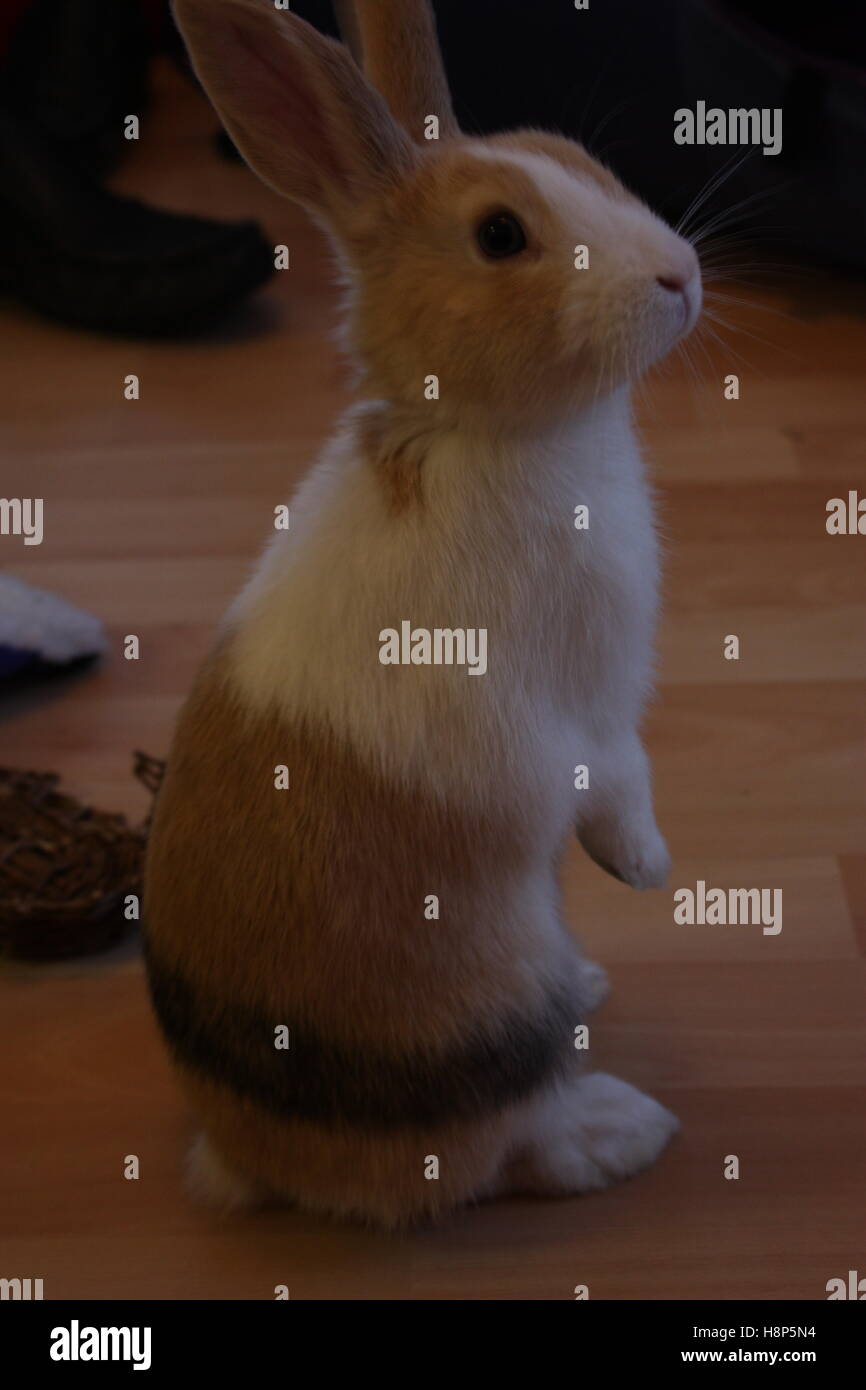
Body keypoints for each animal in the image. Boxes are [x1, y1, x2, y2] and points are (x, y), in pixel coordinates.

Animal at [144, 0, 701, 1229]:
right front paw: (649, 869)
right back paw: (619, 1129)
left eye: (572, 154)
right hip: (498, 1002)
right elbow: (621, 782)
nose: (681, 275)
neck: (483, 431)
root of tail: (250, 1156)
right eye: (500, 235)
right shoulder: (591, 703)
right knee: (508, 1152)